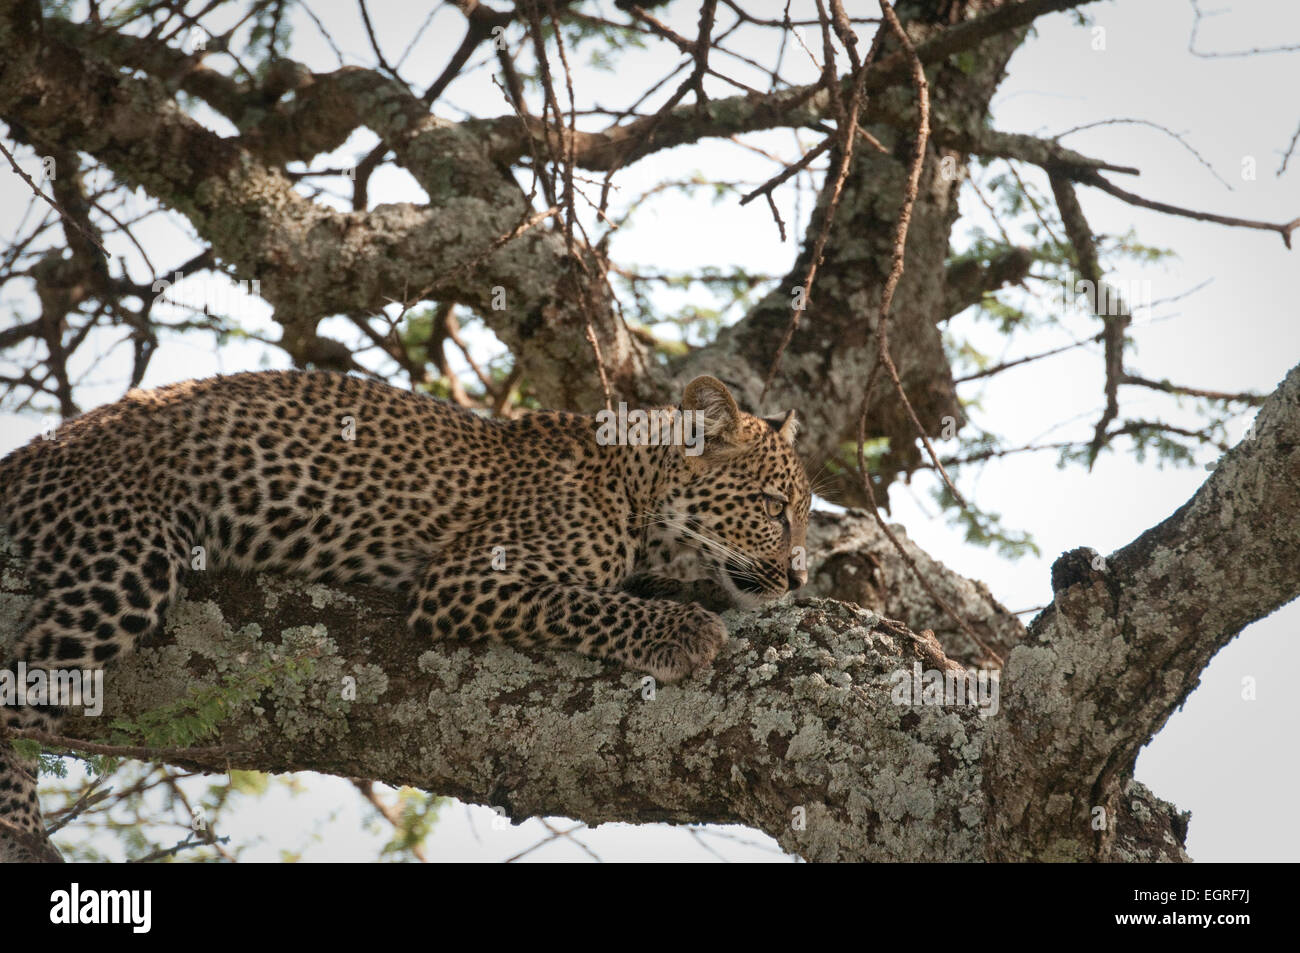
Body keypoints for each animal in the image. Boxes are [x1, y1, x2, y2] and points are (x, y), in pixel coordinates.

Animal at [0, 370, 810, 849]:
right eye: (774, 508)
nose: (799, 579)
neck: (636, 490)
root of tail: (27, 453)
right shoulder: (465, 578)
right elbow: (586, 603)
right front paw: (684, 631)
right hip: (128, 559)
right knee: (20, 692)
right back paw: (22, 830)